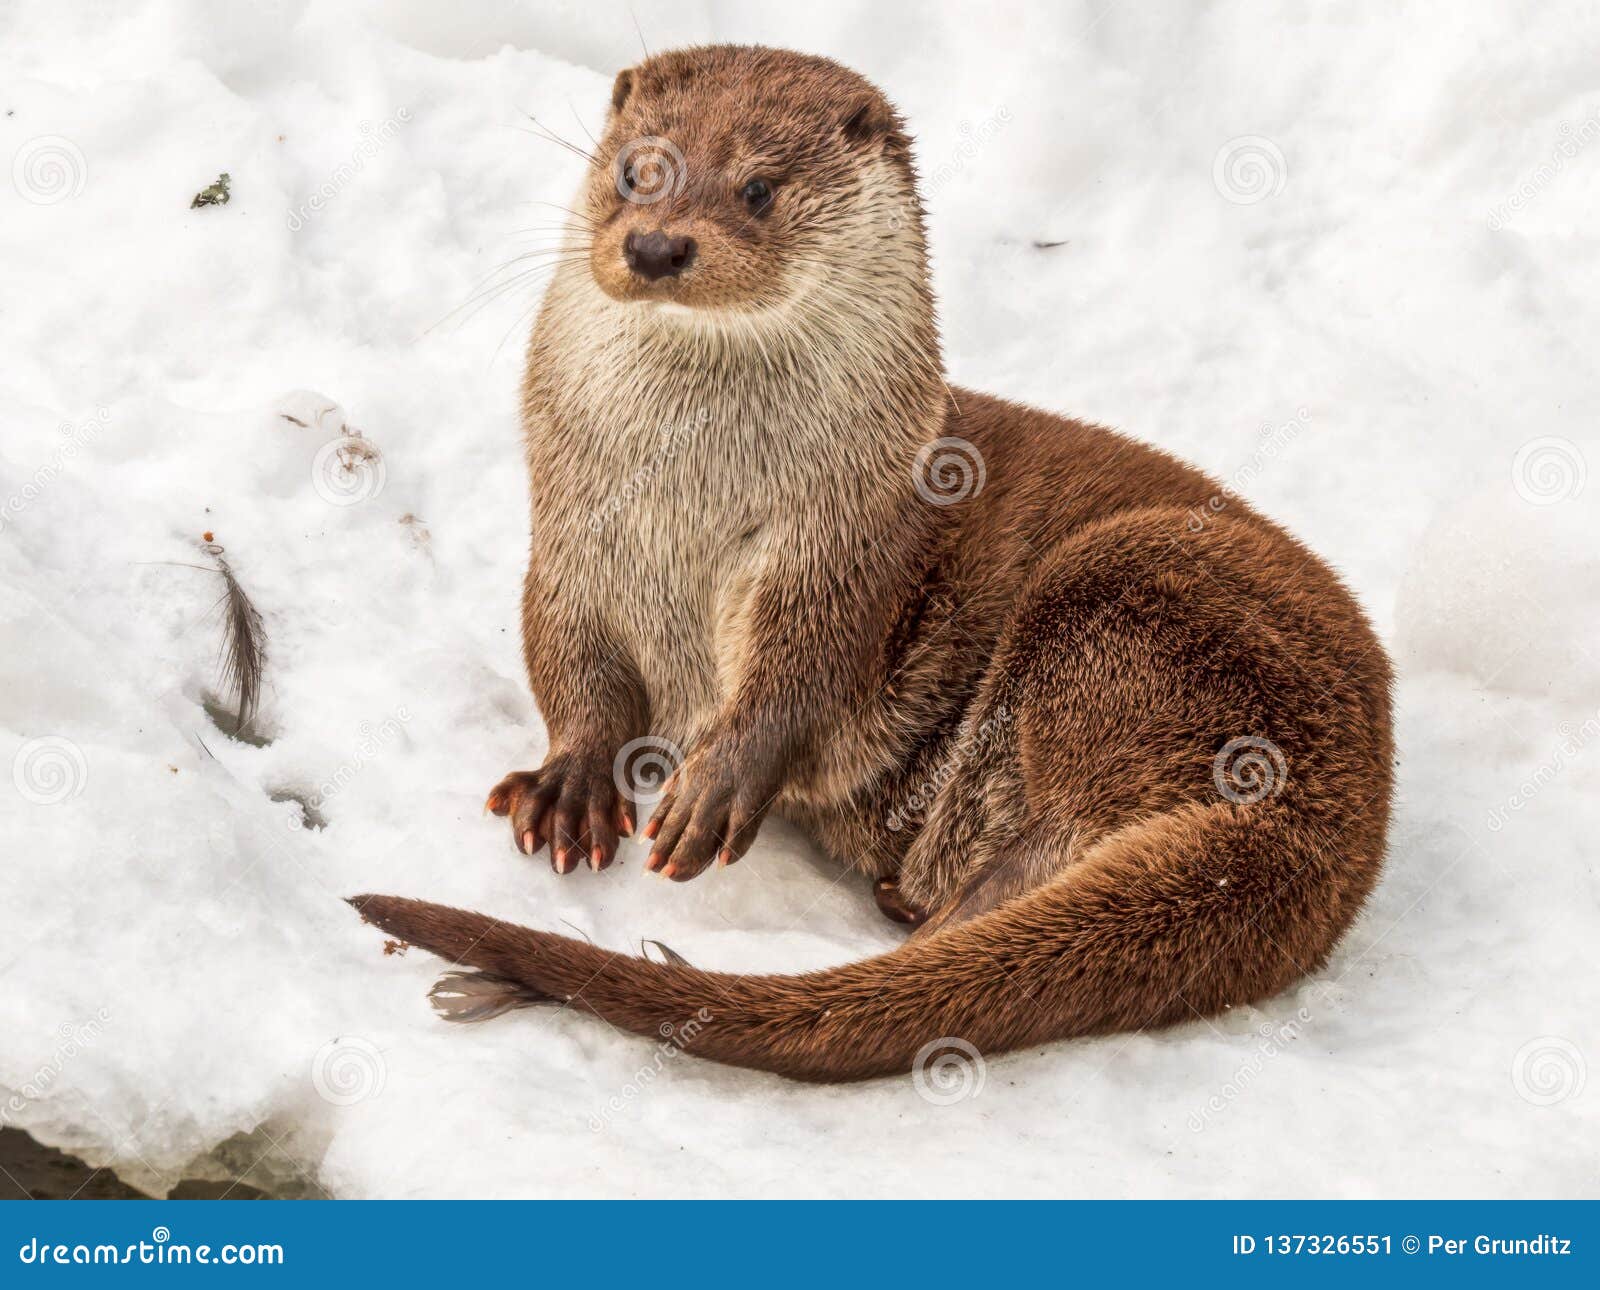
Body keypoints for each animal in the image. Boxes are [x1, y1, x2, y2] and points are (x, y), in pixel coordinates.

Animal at [351, 45, 1393, 1082]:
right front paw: (568, 783)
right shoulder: (572, 537)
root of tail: (1339, 819)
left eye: (759, 187)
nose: (655, 246)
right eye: (636, 171)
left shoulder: (845, 545)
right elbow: (568, 657)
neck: (688, 504)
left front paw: (716, 783)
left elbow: (805, 669)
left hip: (1137, 599)